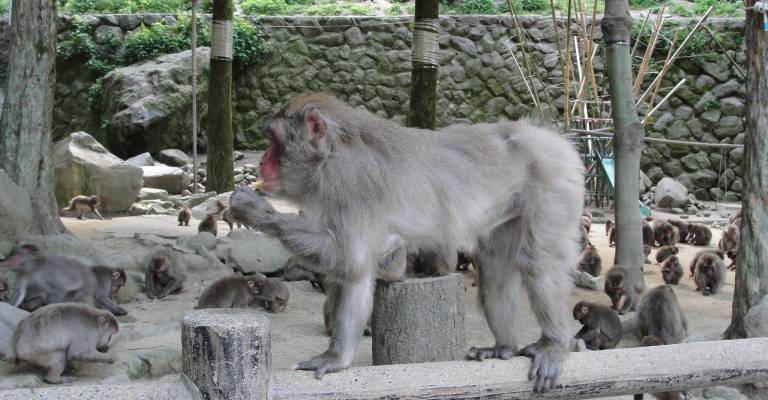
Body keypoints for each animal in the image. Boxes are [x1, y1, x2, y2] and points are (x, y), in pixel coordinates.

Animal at [228, 93, 585, 390]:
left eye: (273, 140)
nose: (260, 163)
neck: (331, 153)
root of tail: (545, 135)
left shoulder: (350, 182)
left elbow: (352, 262)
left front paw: (255, 210)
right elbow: (351, 271)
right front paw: (337, 355)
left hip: (554, 182)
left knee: (538, 261)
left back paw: (554, 344)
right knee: (495, 267)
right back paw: (503, 347)